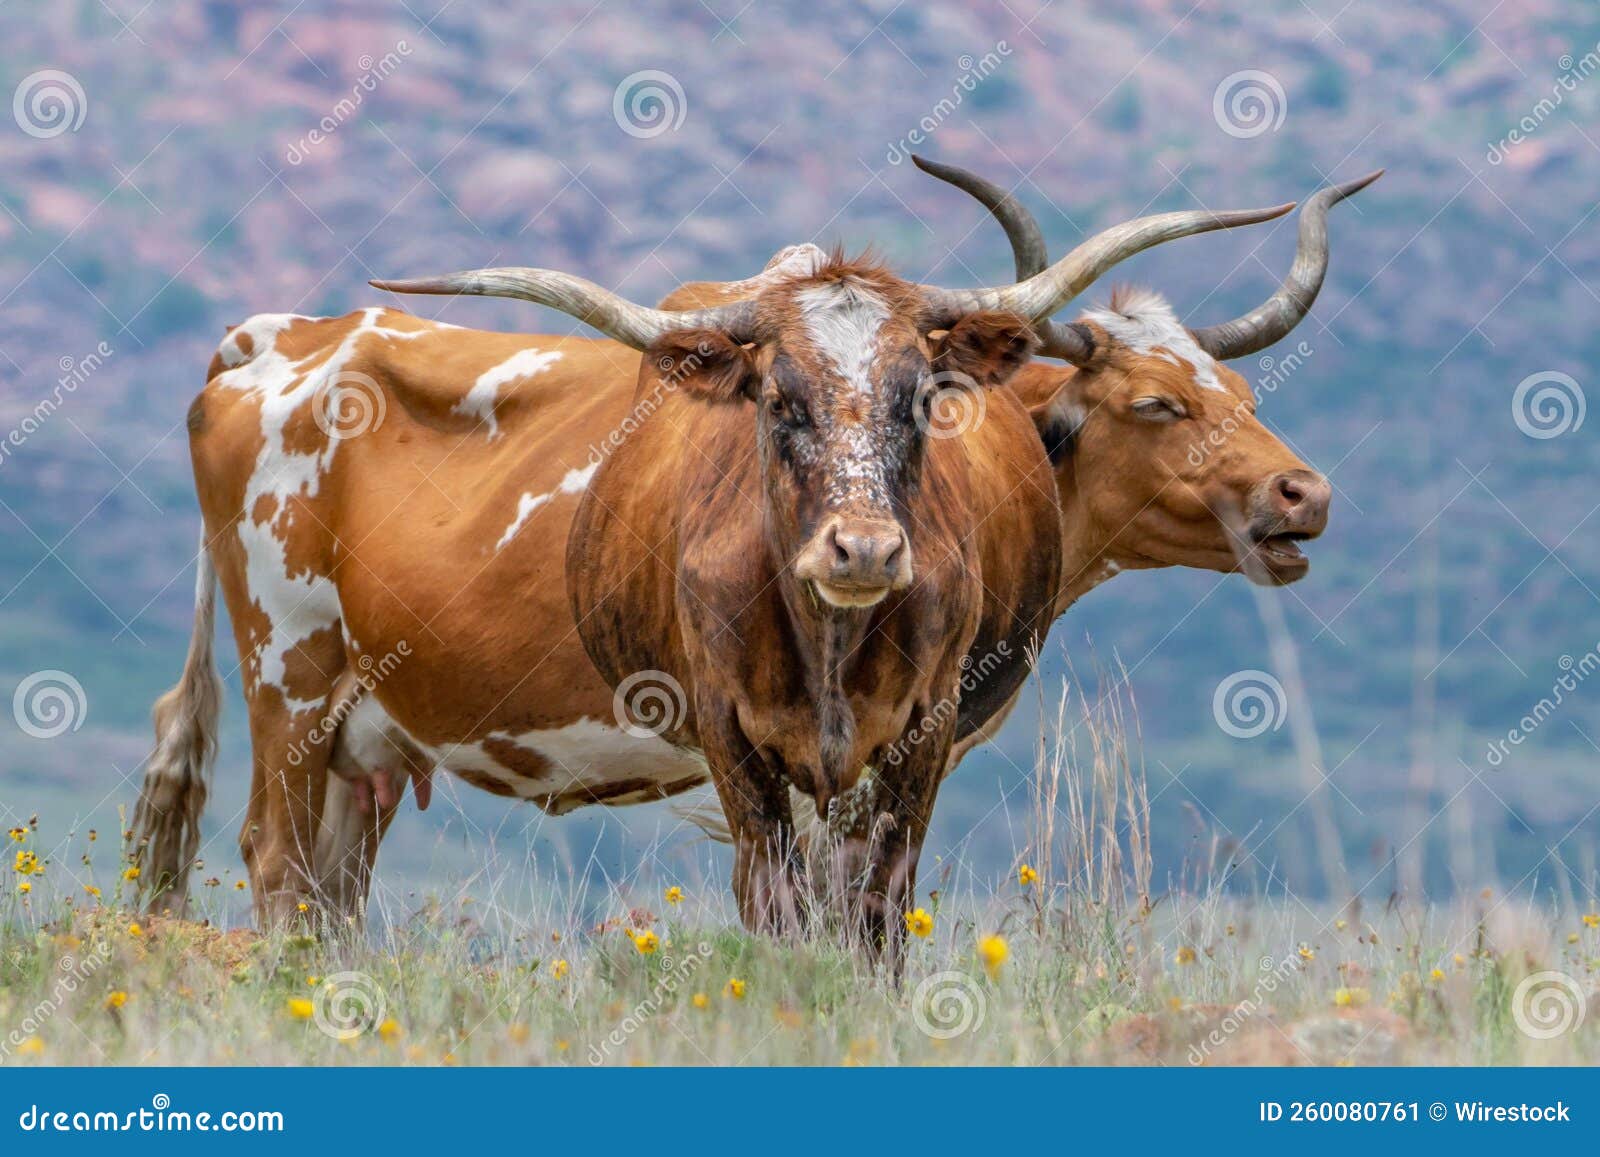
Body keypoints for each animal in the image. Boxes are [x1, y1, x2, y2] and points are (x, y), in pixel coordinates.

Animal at [128, 186, 1297, 951]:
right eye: (1157, 403)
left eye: (922, 394)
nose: (1305, 493)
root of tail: (287, 335)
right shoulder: (740, 743)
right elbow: (784, 909)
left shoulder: (906, 745)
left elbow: (868, 913)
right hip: (289, 683)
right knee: (277, 866)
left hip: (364, 738)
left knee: (329, 900)